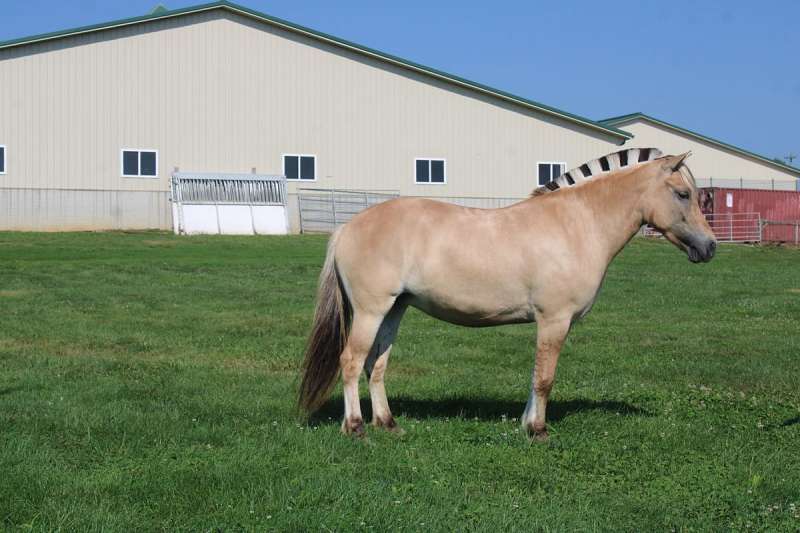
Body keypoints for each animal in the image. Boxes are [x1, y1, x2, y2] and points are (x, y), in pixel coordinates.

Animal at [298, 148, 717, 440]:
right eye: (683, 194)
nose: (710, 246)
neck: (577, 224)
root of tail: (347, 228)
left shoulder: (551, 323)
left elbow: (535, 375)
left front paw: (526, 424)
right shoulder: (554, 319)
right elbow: (545, 377)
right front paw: (539, 431)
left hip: (395, 309)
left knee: (377, 364)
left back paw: (388, 424)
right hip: (371, 310)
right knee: (352, 361)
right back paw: (355, 427)